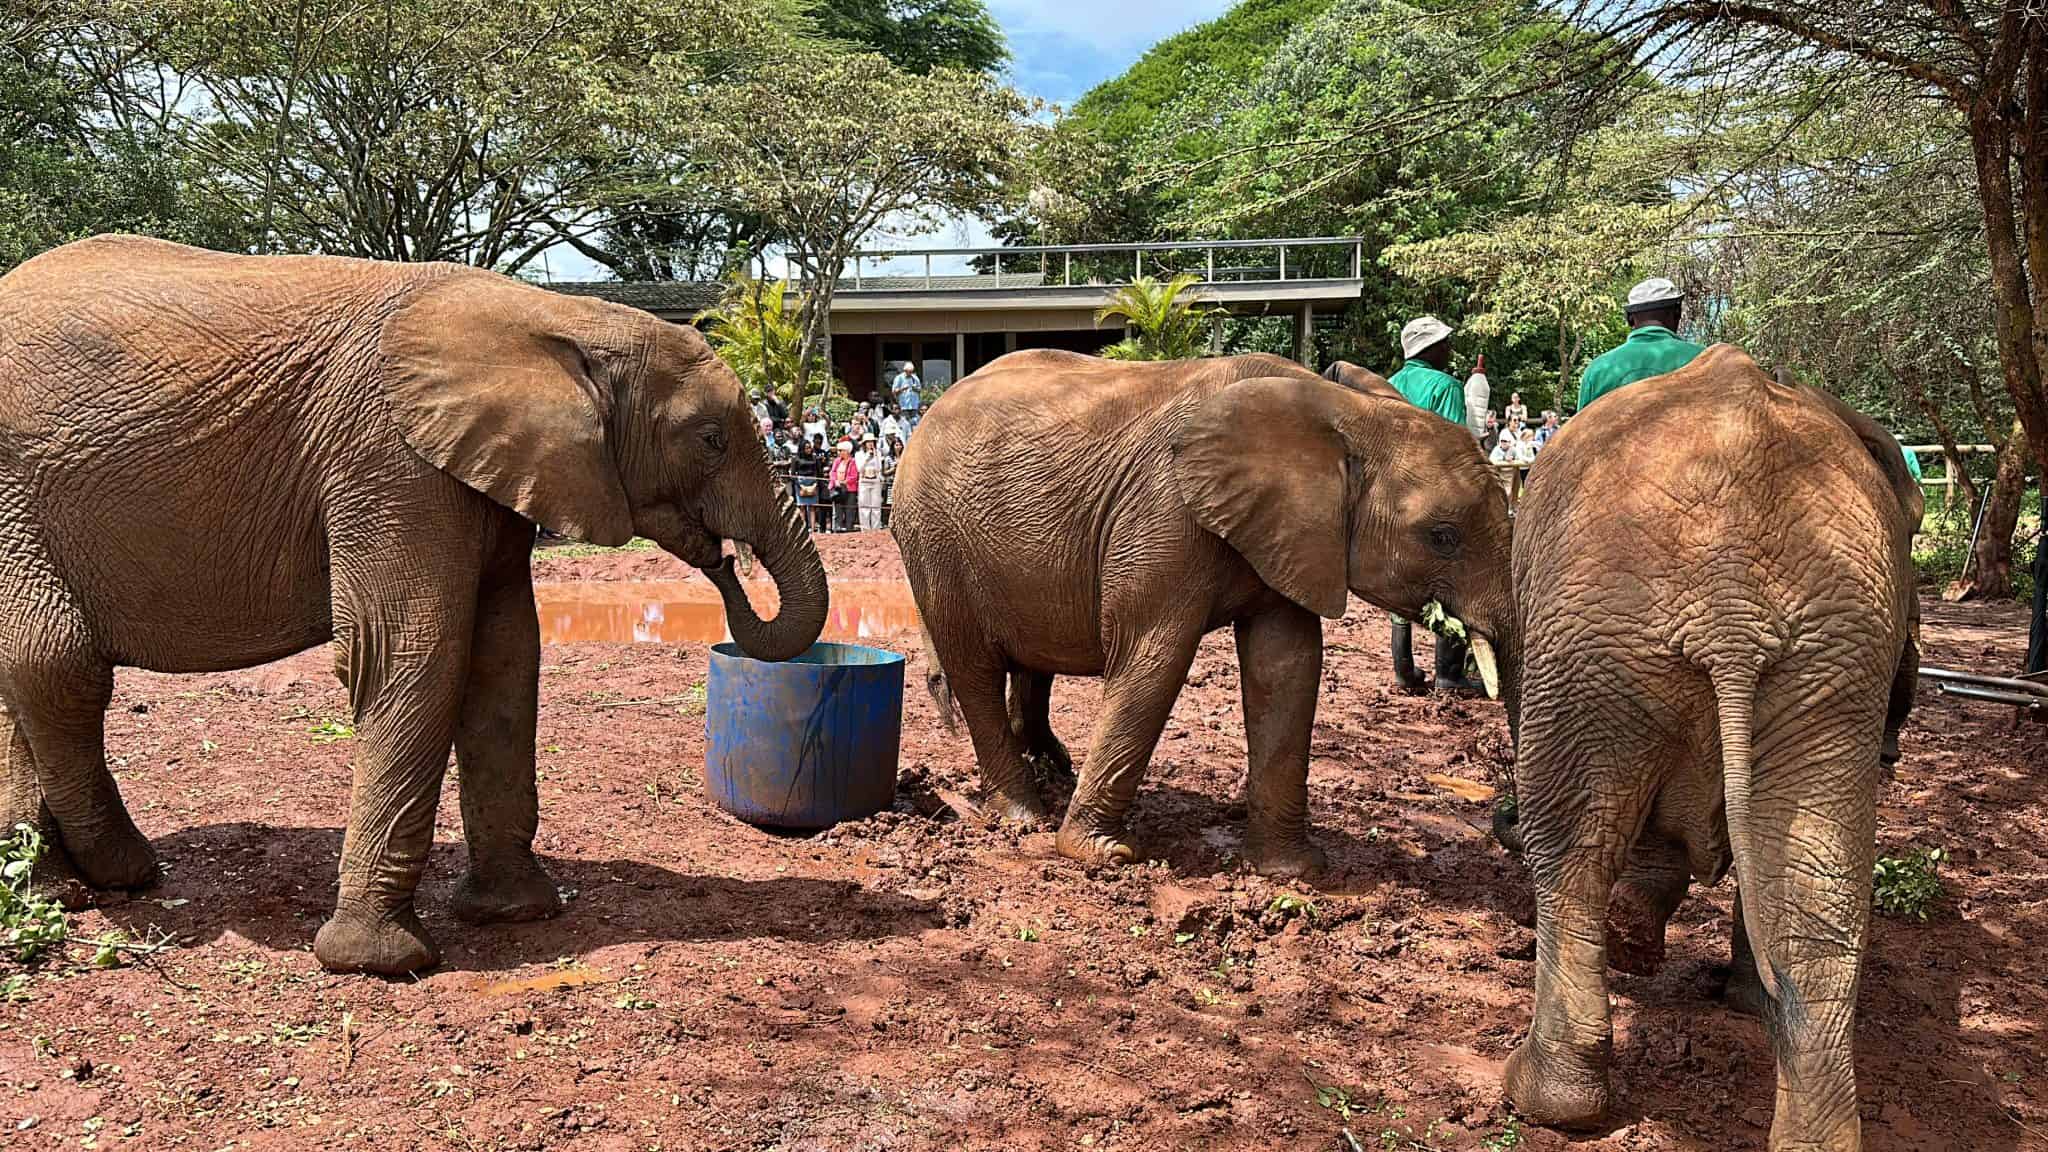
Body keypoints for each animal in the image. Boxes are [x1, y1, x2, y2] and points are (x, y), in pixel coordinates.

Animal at [0, 236, 827, 974]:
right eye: (711, 439)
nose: (724, 563)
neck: (558, 315)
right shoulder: (390, 459)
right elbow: (412, 652)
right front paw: (378, 964)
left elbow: (506, 657)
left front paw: (515, 914)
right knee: (54, 661)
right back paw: (122, 873)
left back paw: (54, 887)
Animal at [890, 350, 1514, 876]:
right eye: (1442, 537)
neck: (1341, 412)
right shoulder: (1165, 514)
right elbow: (1152, 661)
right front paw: (1104, 855)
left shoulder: (1288, 536)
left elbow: (1287, 668)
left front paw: (1294, 872)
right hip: (935, 542)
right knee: (974, 668)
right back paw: (1022, 815)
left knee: (1029, 662)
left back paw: (1054, 774)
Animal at [1501, 345, 1921, 1151]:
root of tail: (1732, 606)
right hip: (1824, 652)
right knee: (1816, 876)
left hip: (1596, 640)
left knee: (1568, 845)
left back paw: (1543, 1100)